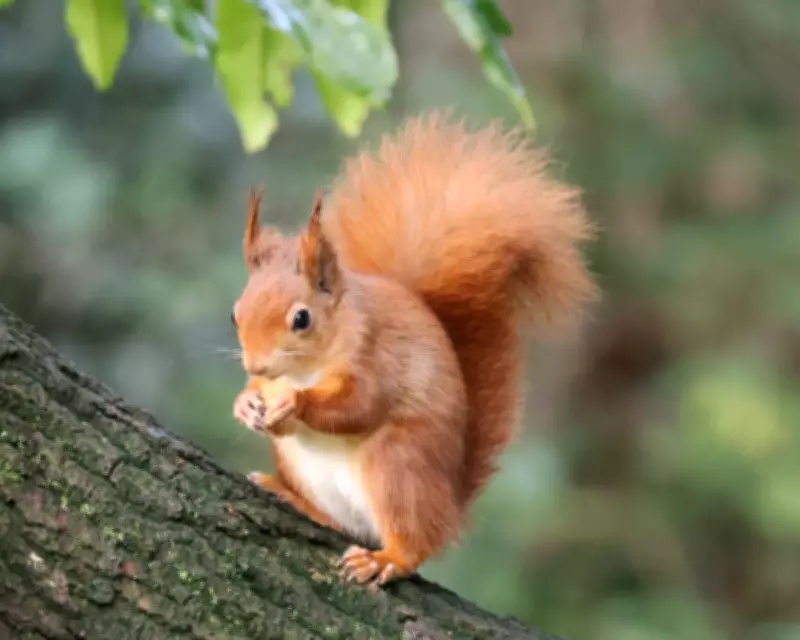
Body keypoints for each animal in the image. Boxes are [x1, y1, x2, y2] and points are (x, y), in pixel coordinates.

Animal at [231, 112, 597, 588]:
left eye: (301, 319)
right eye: (235, 315)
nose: (255, 363)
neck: (306, 367)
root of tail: (451, 505)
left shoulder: (377, 357)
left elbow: (360, 406)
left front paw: (295, 402)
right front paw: (245, 403)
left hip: (397, 467)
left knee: (417, 540)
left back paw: (387, 558)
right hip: (302, 465)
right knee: (344, 522)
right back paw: (291, 497)